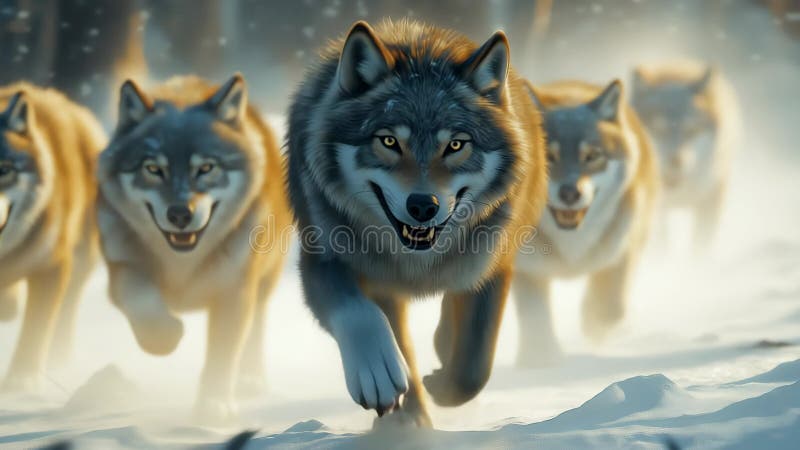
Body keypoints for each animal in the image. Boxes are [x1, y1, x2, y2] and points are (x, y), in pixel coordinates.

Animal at [0, 83, 105, 390]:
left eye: (5, 169)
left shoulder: (52, 266)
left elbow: (34, 331)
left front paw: (22, 382)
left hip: (81, 259)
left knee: (66, 313)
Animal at [96, 74, 290, 420]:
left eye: (205, 168)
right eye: (153, 169)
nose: (179, 214)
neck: (182, 265)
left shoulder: (235, 290)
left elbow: (222, 355)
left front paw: (213, 407)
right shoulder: (123, 269)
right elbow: (145, 305)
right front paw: (164, 337)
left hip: (265, 281)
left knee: (256, 327)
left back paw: (250, 380)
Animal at [287, 20, 547, 426]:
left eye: (455, 145)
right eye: (389, 141)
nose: (423, 205)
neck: (417, 266)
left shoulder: (492, 265)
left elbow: (473, 366)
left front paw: (441, 386)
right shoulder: (324, 259)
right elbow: (362, 317)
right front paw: (384, 385)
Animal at [513, 80, 659, 366]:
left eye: (591, 156)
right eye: (548, 156)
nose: (570, 193)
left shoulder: (621, 249)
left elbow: (611, 308)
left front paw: (591, 325)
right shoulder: (524, 266)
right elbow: (534, 316)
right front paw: (540, 358)